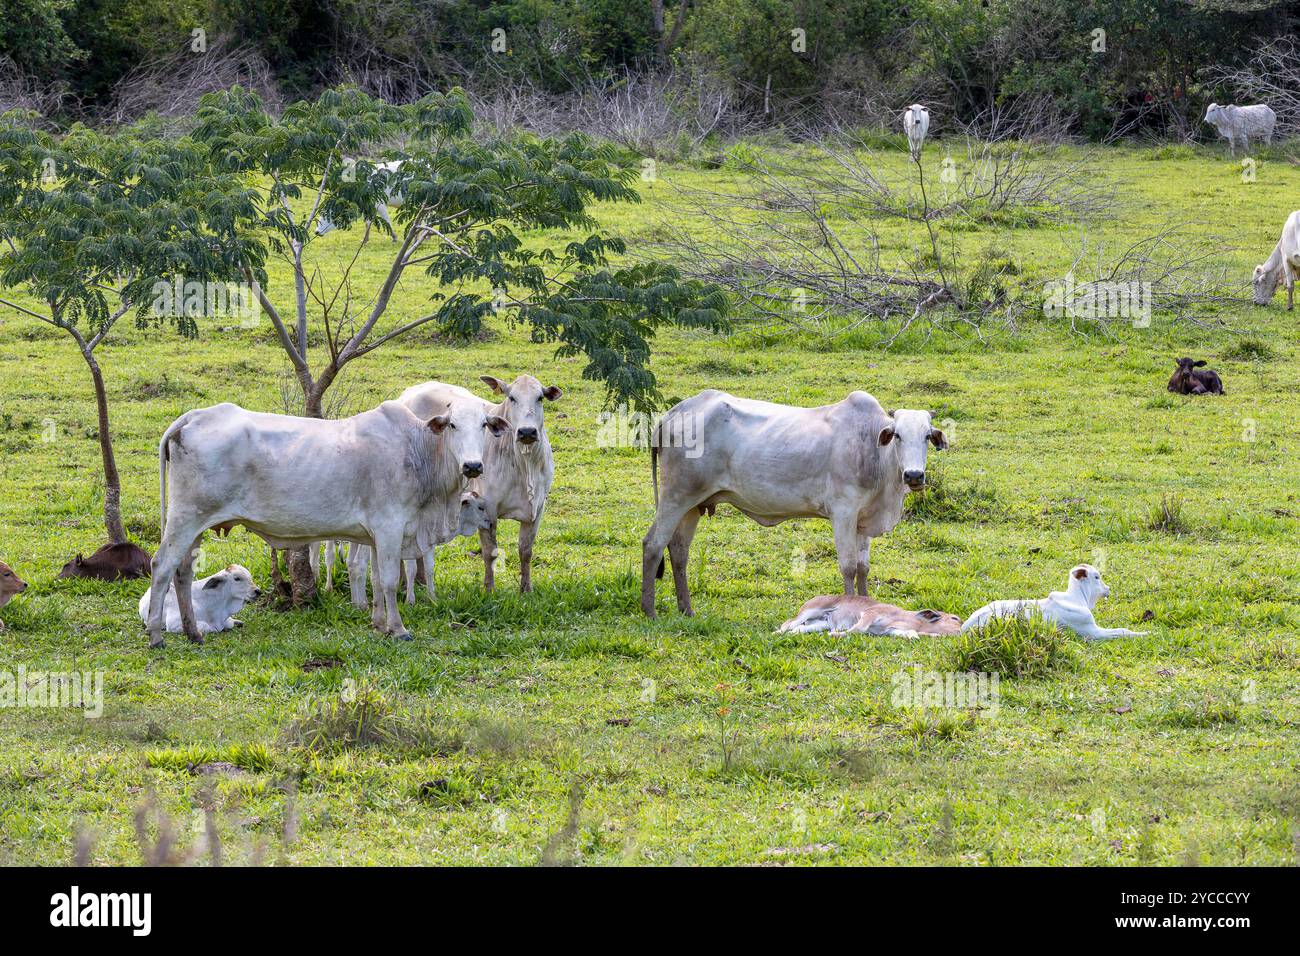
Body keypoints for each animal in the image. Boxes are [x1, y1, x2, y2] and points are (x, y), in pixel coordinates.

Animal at [145, 399, 507, 647]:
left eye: (484, 425)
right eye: (452, 425)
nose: (473, 465)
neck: (417, 451)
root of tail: (195, 415)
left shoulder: (375, 537)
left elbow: (376, 580)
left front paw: (380, 624)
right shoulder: (390, 527)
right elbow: (390, 581)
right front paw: (399, 628)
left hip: (195, 525)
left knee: (183, 572)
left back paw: (193, 632)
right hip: (185, 518)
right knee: (162, 566)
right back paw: (156, 636)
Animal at [394, 375, 561, 595]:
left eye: (540, 398)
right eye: (512, 398)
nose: (527, 431)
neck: (525, 467)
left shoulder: (538, 508)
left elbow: (525, 550)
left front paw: (526, 589)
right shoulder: (486, 507)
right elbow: (490, 552)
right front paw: (489, 588)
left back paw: (420, 581)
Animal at [641, 389, 946, 617]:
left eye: (927, 436)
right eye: (897, 435)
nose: (914, 475)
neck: (872, 449)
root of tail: (671, 414)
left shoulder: (862, 520)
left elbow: (862, 568)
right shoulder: (843, 512)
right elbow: (848, 566)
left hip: (693, 505)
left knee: (678, 552)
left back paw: (687, 610)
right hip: (676, 496)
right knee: (653, 544)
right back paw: (649, 611)